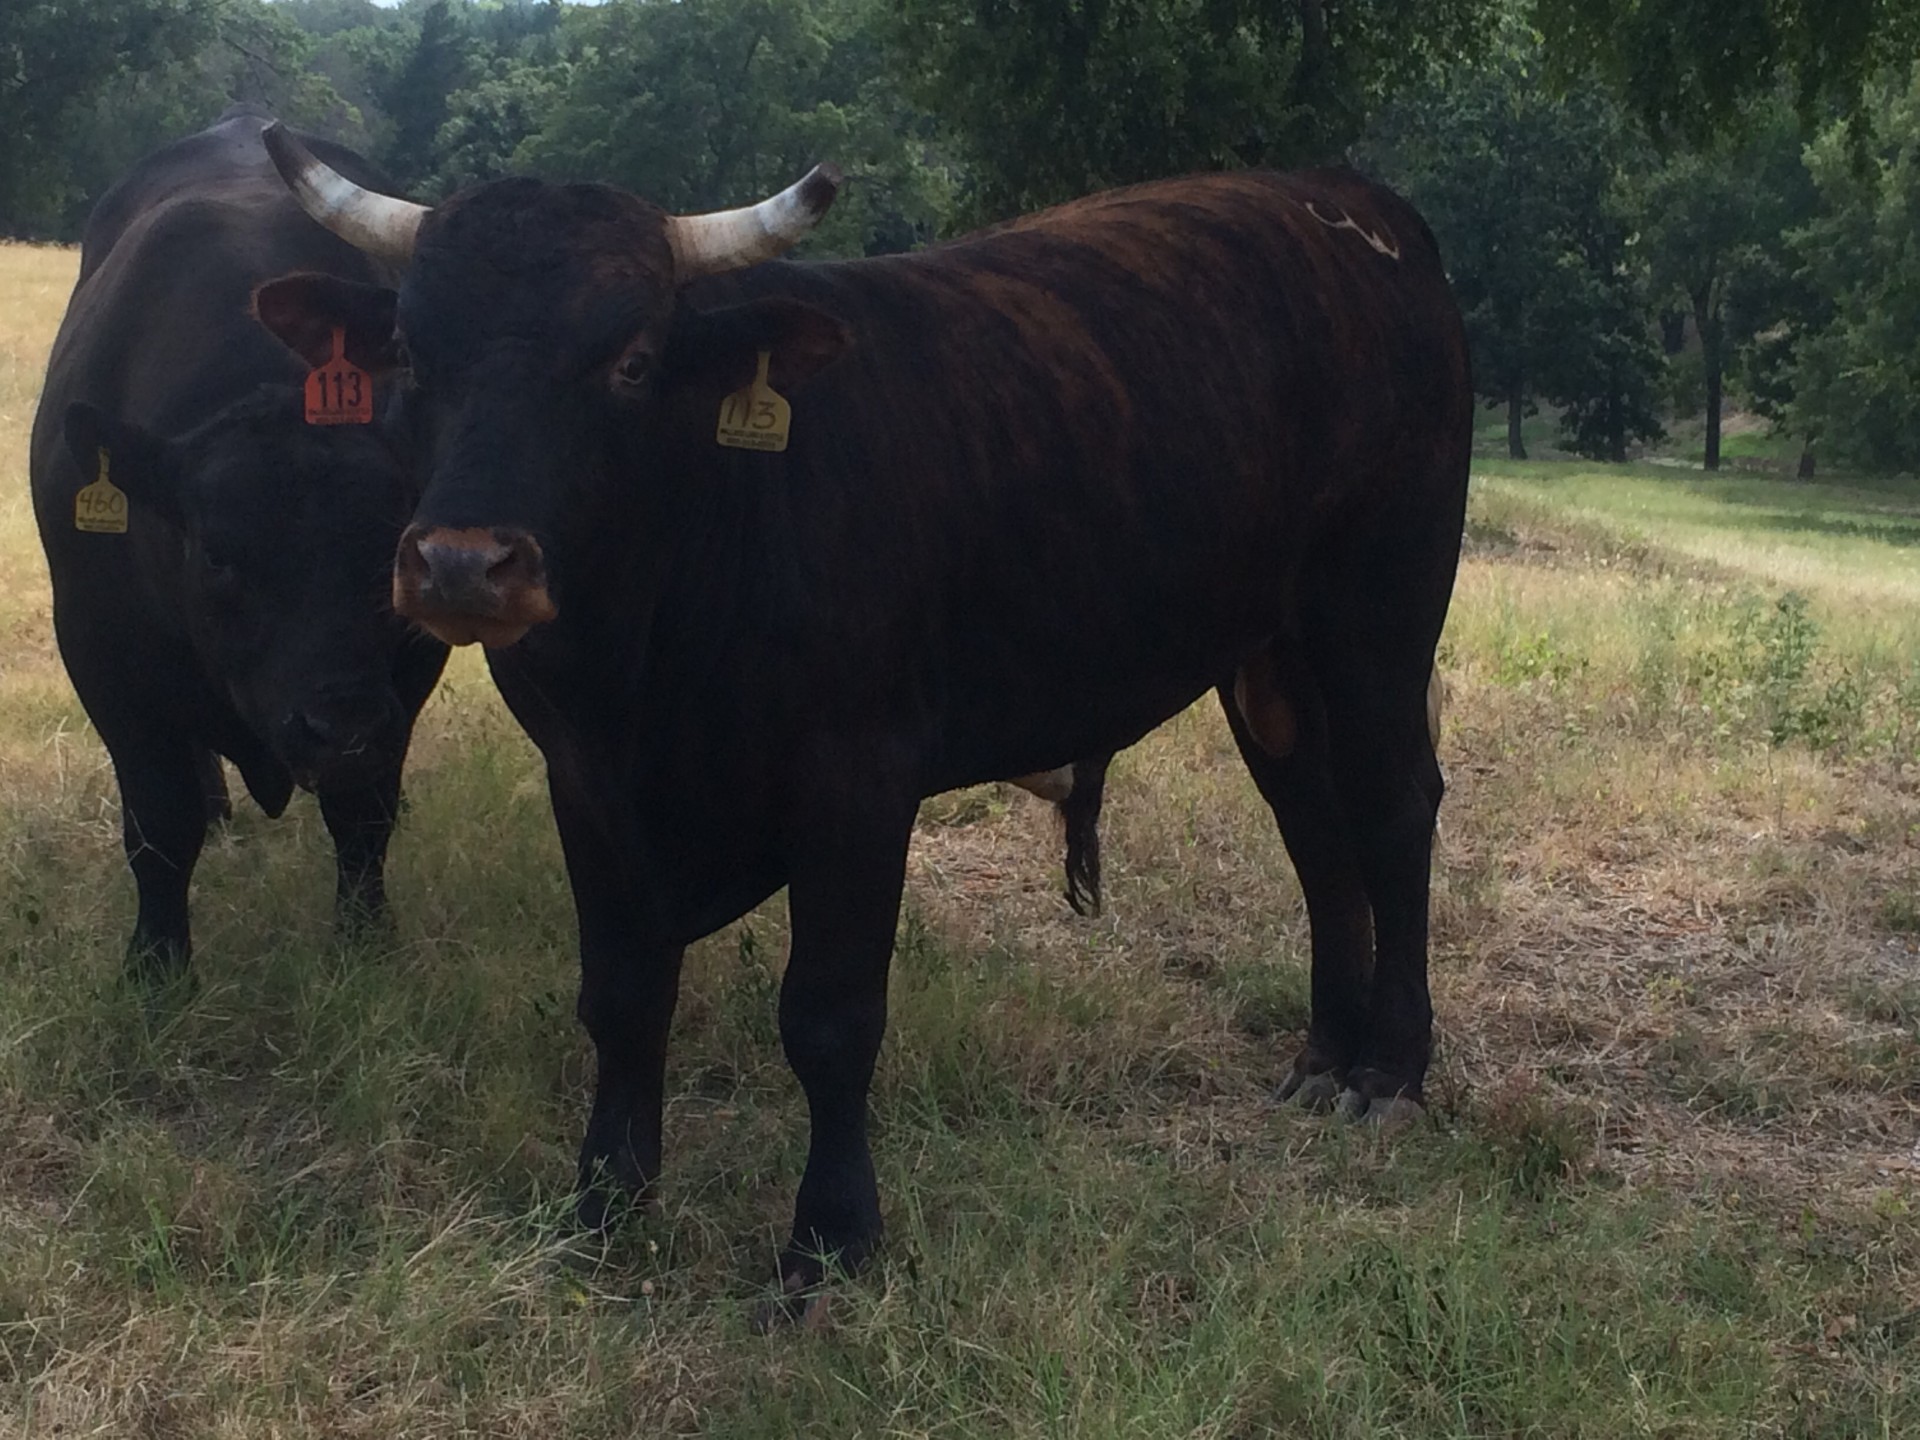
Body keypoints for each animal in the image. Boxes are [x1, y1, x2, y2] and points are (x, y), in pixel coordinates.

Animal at [28, 107, 448, 976]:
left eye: (387, 544)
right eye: (218, 554)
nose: (338, 726)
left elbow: (364, 810)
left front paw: (365, 942)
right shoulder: (97, 646)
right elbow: (160, 821)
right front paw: (156, 965)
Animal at [256, 126, 1471, 1312]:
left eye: (632, 361)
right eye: (411, 354)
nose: (464, 563)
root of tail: (1346, 200)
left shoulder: (856, 781)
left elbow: (829, 1017)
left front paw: (830, 1241)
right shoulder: (586, 783)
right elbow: (622, 996)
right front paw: (605, 1202)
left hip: (1377, 612)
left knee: (1394, 813)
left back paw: (1389, 1068)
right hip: (1269, 656)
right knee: (1315, 830)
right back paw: (1324, 1054)